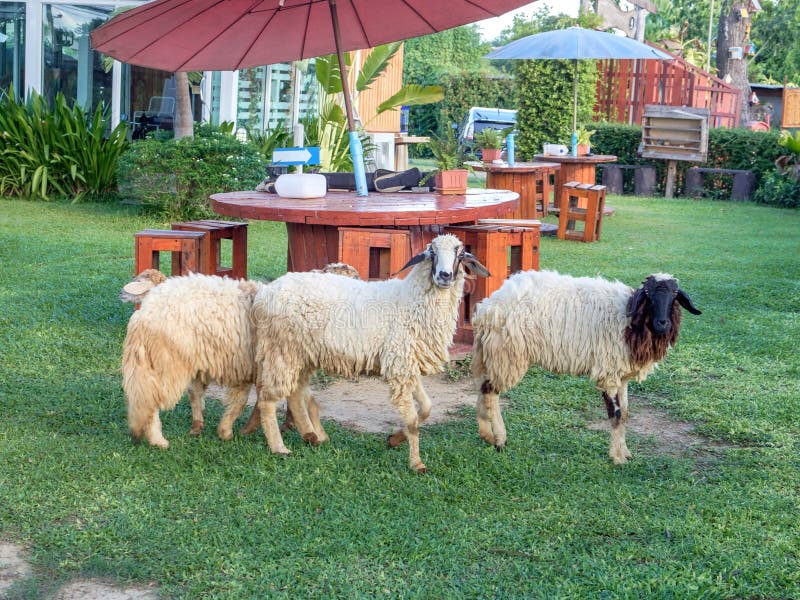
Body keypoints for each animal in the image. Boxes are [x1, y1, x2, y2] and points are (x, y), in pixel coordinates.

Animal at [247, 234, 489, 472]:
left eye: (460, 254)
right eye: (432, 252)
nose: (444, 275)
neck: (409, 301)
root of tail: (265, 292)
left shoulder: (406, 363)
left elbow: (427, 408)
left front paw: (394, 439)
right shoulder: (400, 365)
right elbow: (412, 420)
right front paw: (416, 463)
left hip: (301, 353)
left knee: (295, 393)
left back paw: (313, 436)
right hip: (282, 349)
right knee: (268, 398)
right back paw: (279, 448)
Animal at [471, 270, 702, 464]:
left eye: (674, 294)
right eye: (648, 294)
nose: (662, 323)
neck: (630, 319)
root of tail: (486, 308)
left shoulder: (622, 376)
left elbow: (625, 414)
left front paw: (625, 453)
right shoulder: (609, 373)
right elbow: (616, 415)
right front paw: (617, 458)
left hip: (494, 356)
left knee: (482, 388)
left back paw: (486, 434)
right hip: (507, 356)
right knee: (490, 392)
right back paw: (500, 440)